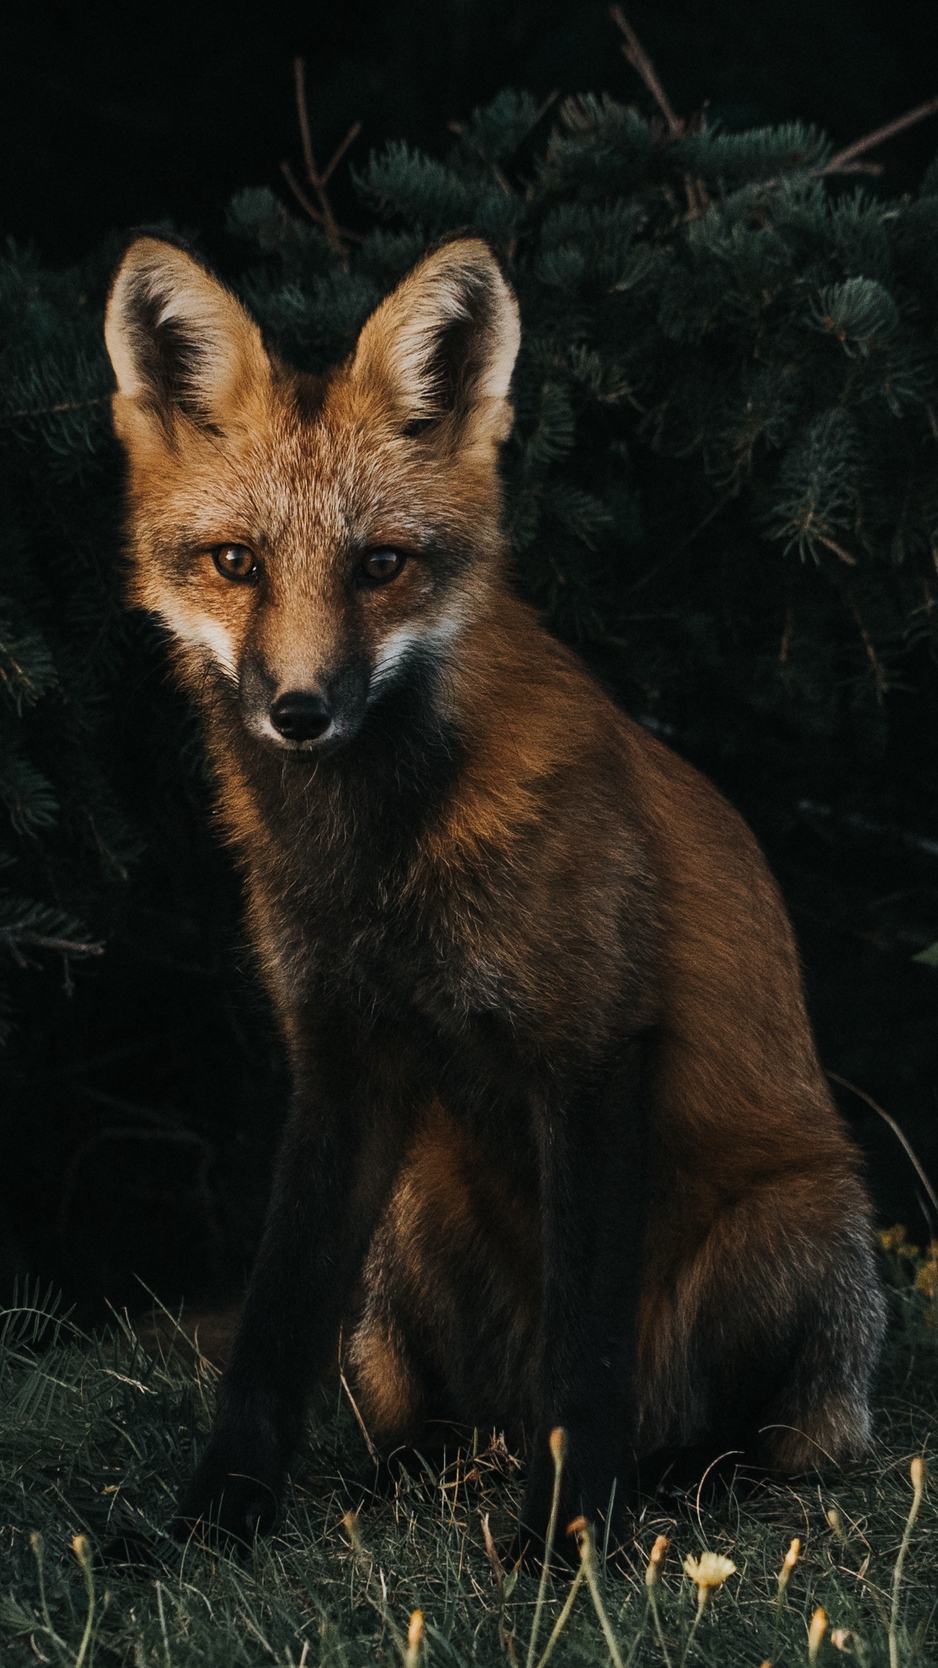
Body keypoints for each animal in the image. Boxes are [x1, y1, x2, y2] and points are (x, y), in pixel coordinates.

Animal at [104, 232, 886, 1551]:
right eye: (235, 564)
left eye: (381, 564)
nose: (300, 712)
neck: (377, 860)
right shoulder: (338, 1056)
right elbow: (269, 1330)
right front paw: (213, 1520)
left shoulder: (590, 1046)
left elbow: (585, 1351)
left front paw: (568, 1543)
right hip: (413, 1217)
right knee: (433, 1416)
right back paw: (418, 1469)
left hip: (795, 1231)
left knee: (758, 1440)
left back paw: (666, 1481)